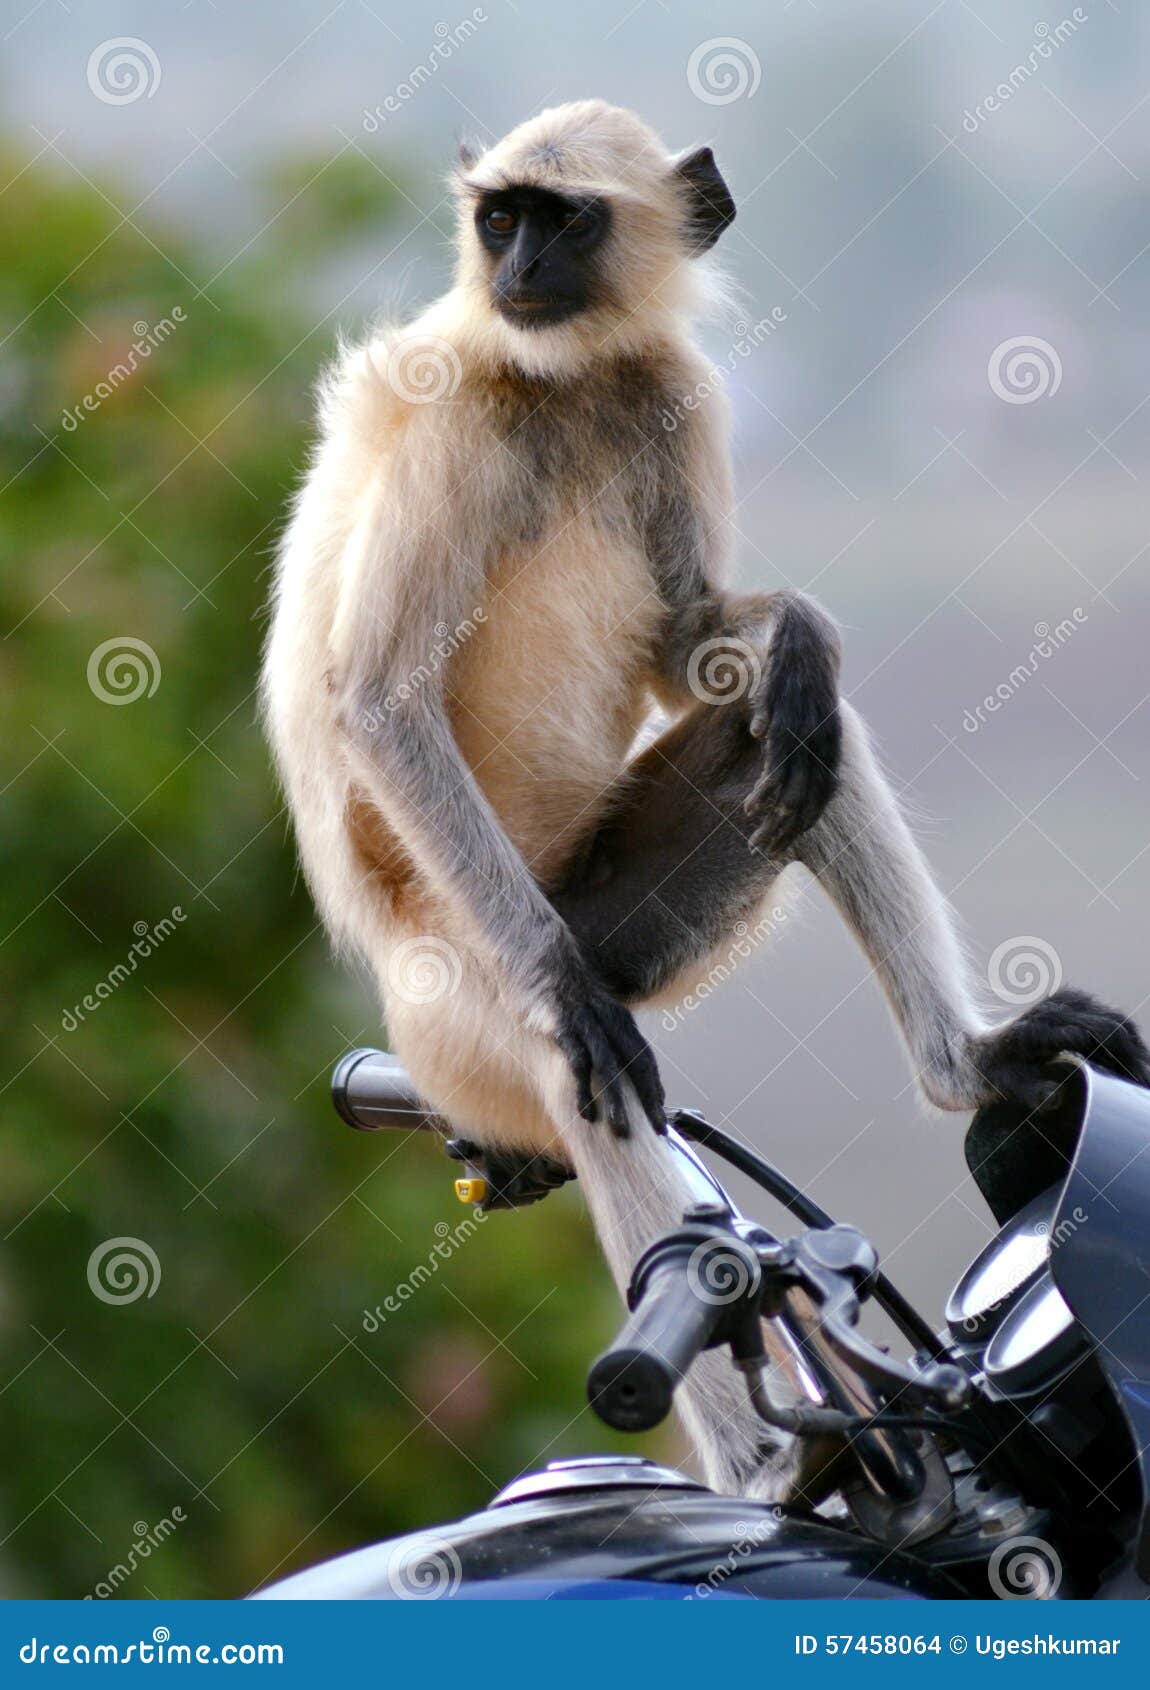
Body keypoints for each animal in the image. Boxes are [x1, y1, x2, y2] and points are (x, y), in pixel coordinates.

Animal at [263, 100, 1150, 1499]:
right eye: (498, 219)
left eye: (561, 222)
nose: (519, 271)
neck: (560, 380)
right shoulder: (457, 417)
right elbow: (379, 698)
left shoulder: (670, 391)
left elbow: (700, 642)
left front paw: (796, 634)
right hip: (458, 1001)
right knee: (575, 1062)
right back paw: (773, 1469)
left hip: (618, 919)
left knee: (792, 737)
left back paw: (967, 1064)